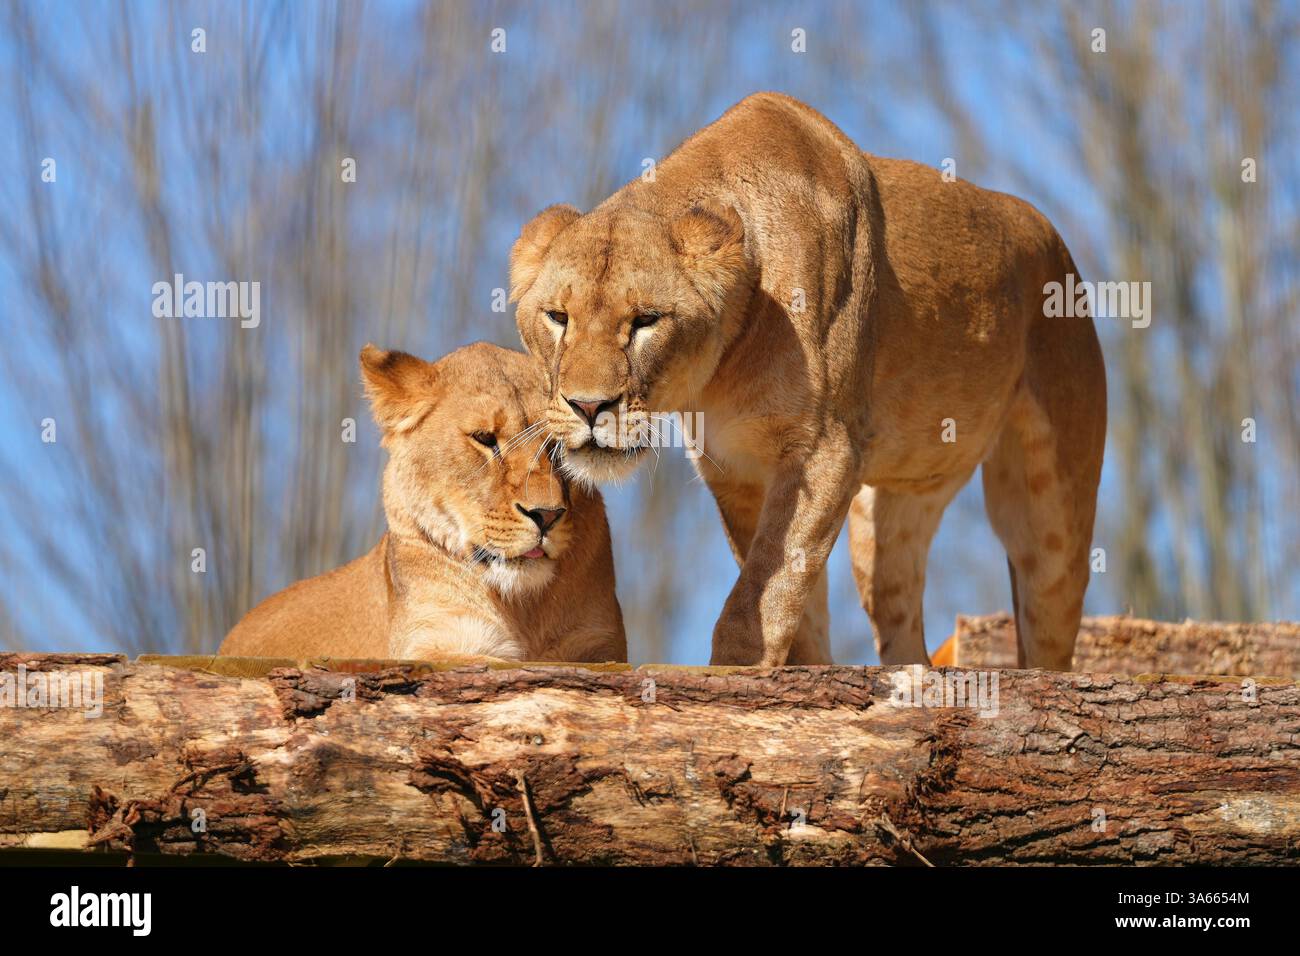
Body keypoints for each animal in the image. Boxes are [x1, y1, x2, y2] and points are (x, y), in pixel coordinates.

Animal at [219, 342, 627, 664]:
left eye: (559, 446)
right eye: (484, 438)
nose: (546, 515)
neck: (524, 608)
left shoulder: (599, 645)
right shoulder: (431, 643)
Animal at [509, 92, 1105, 669]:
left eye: (645, 321)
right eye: (558, 318)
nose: (589, 407)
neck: (723, 368)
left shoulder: (824, 450)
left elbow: (762, 594)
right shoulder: (736, 471)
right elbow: (792, 600)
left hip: (1052, 513)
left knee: (1051, 639)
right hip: (889, 516)